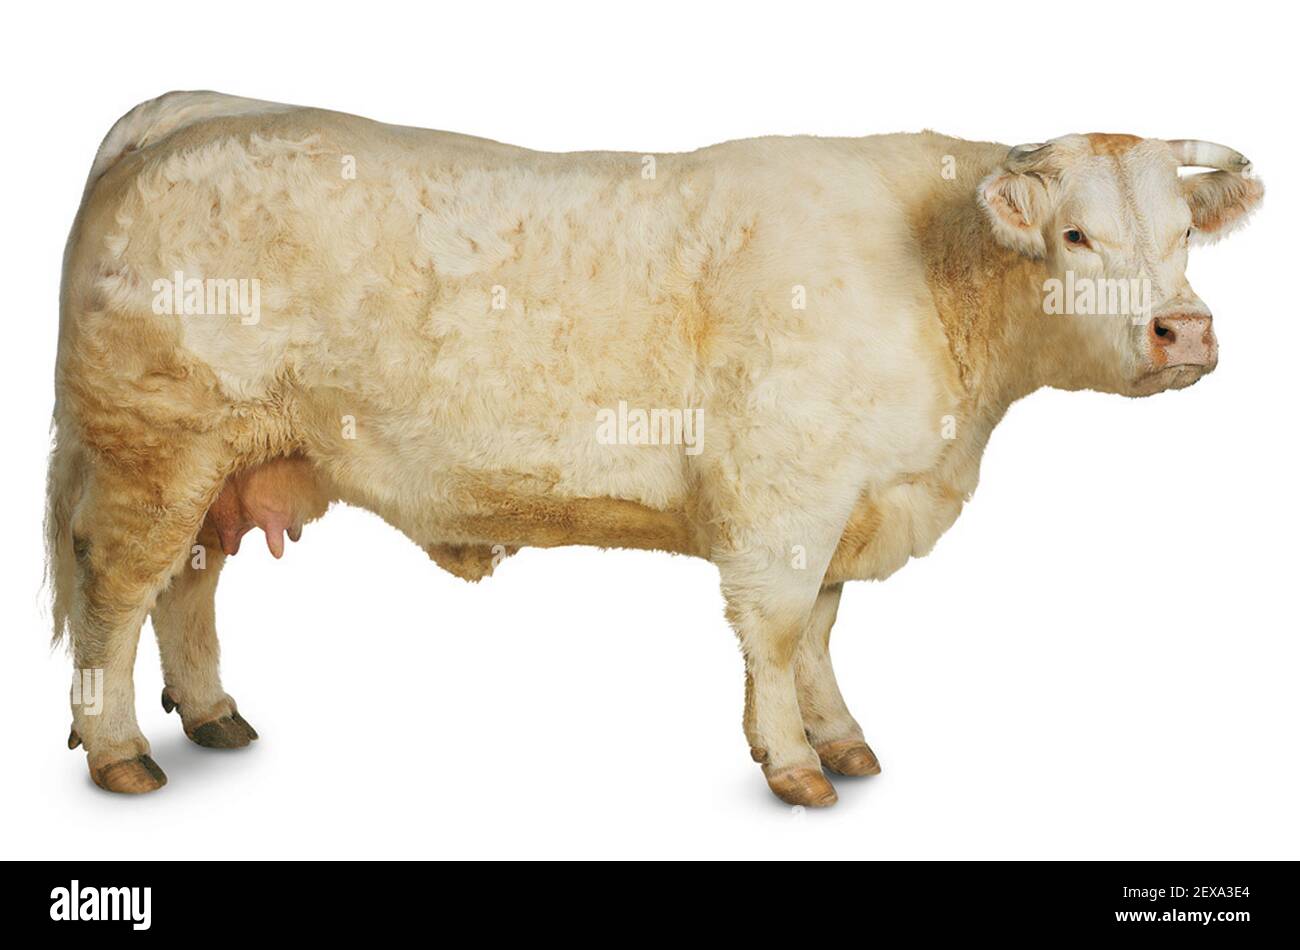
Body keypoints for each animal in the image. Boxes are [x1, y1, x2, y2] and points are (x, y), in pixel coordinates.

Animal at [46, 92, 1262, 805]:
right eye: (1076, 234)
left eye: (1183, 235)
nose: (1186, 329)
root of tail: (183, 116)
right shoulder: (783, 498)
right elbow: (777, 632)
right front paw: (791, 763)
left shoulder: (844, 499)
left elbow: (821, 632)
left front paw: (840, 738)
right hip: (151, 449)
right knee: (117, 595)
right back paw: (120, 753)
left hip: (220, 462)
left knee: (188, 587)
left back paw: (213, 717)